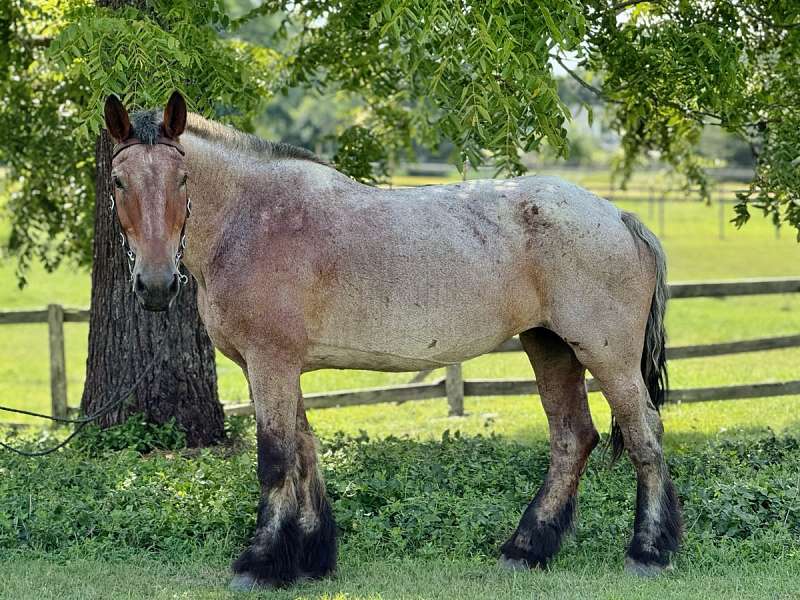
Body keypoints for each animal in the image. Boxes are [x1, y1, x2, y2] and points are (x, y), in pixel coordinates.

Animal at [102, 91, 682, 589]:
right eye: (118, 181)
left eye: (182, 179)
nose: (156, 284)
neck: (251, 219)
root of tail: (618, 216)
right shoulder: (279, 367)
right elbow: (304, 451)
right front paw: (312, 557)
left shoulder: (270, 363)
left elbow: (275, 458)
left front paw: (261, 564)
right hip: (550, 347)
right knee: (571, 439)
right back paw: (526, 548)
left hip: (606, 357)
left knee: (645, 435)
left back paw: (649, 552)